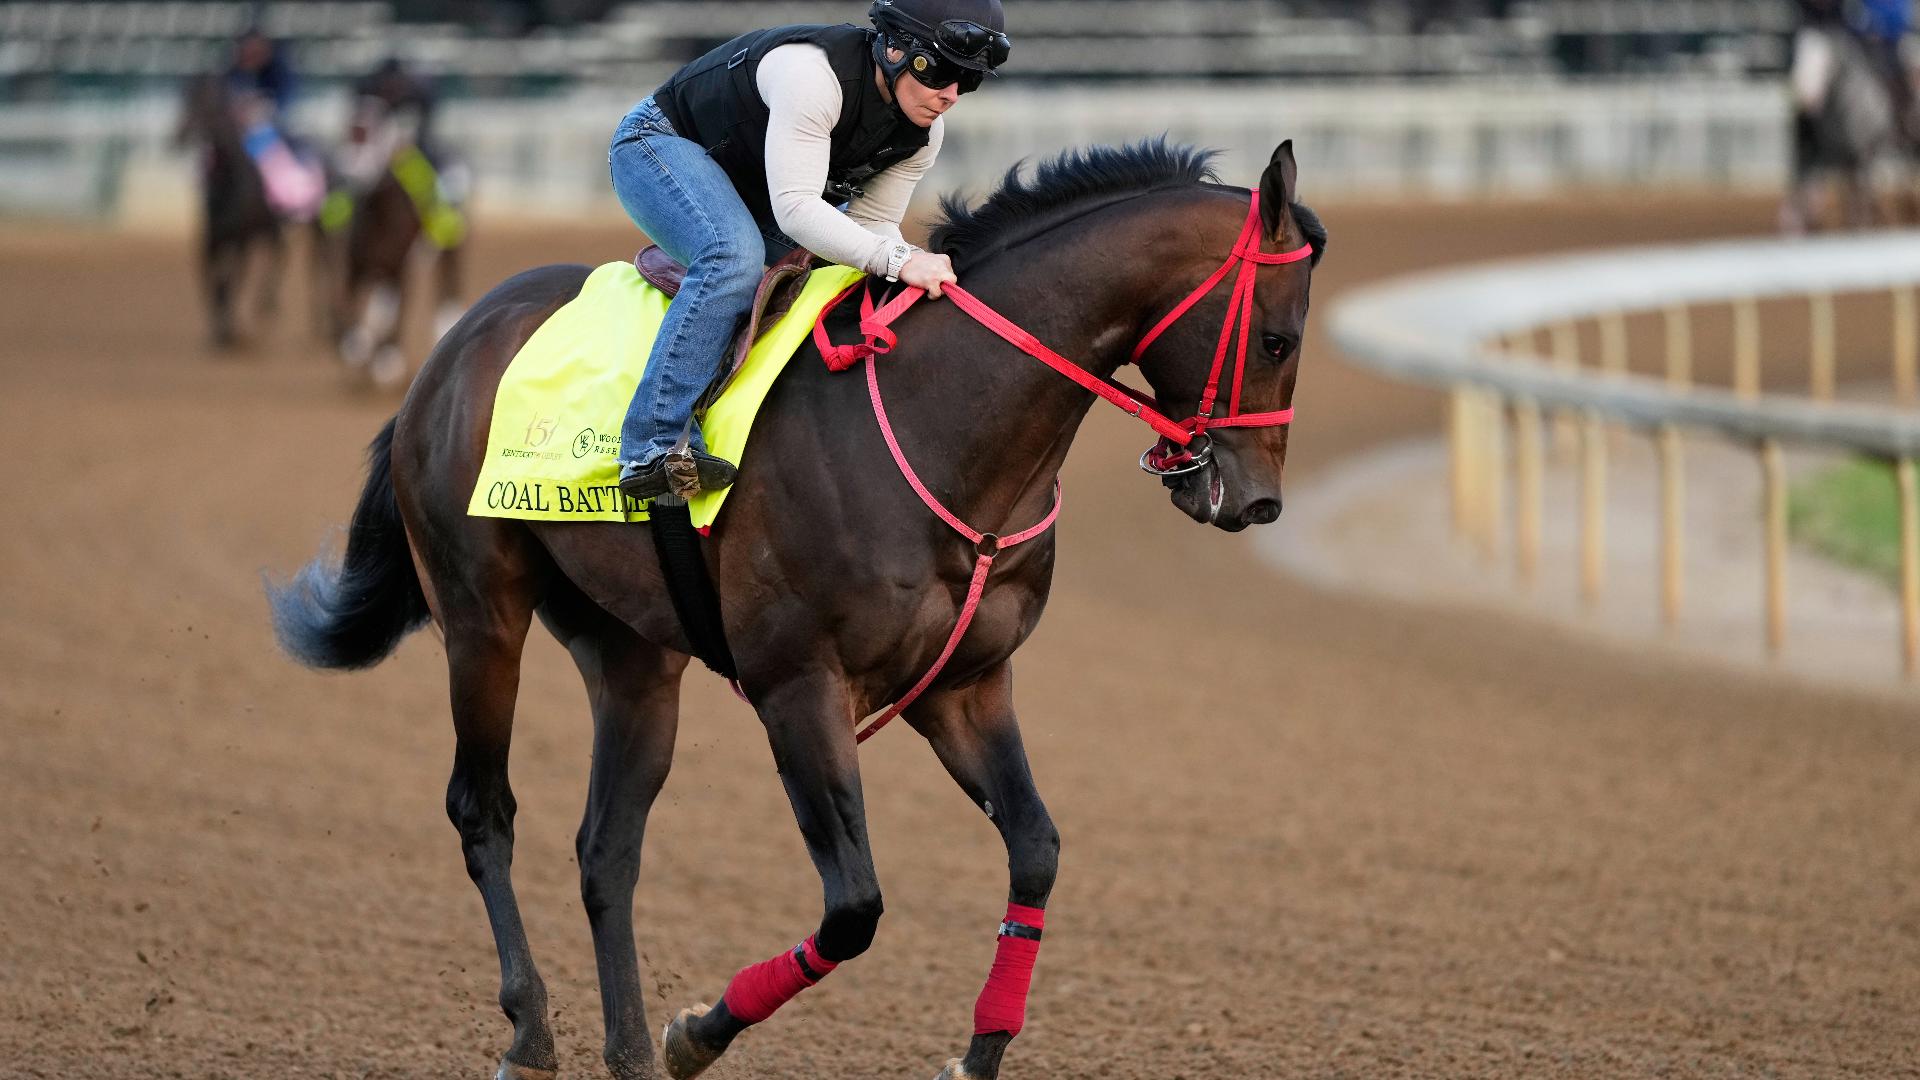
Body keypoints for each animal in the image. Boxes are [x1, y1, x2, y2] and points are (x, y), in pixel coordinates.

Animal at [268, 138, 1326, 1080]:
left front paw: (976, 1054)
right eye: (1278, 339)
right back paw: (532, 1035)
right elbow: (854, 905)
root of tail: (448, 350)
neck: (943, 425)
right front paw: (698, 1032)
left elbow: (1035, 851)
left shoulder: (968, 685)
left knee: (607, 849)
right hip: (482, 615)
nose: (1255, 502)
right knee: (482, 809)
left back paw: (625, 1051)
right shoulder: (799, 686)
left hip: (633, 657)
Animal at [328, 94, 470, 388]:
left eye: (372, 133)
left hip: (450, 247)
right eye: (349, 130)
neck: (381, 218)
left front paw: (387, 361)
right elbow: (348, 305)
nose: (347, 173)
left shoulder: (402, 269)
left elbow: (399, 314)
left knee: (447, 286)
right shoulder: (355, 268)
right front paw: (356, 345)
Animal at [1782, 22, 1920, 232]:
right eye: (1797, 53)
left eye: (1825, 59)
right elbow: (1847, 192)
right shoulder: (1840, 155)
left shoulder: (1863, 154)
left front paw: (1862, 222)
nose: (1806, 98)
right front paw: (1853, 222)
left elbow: (1861, 191)